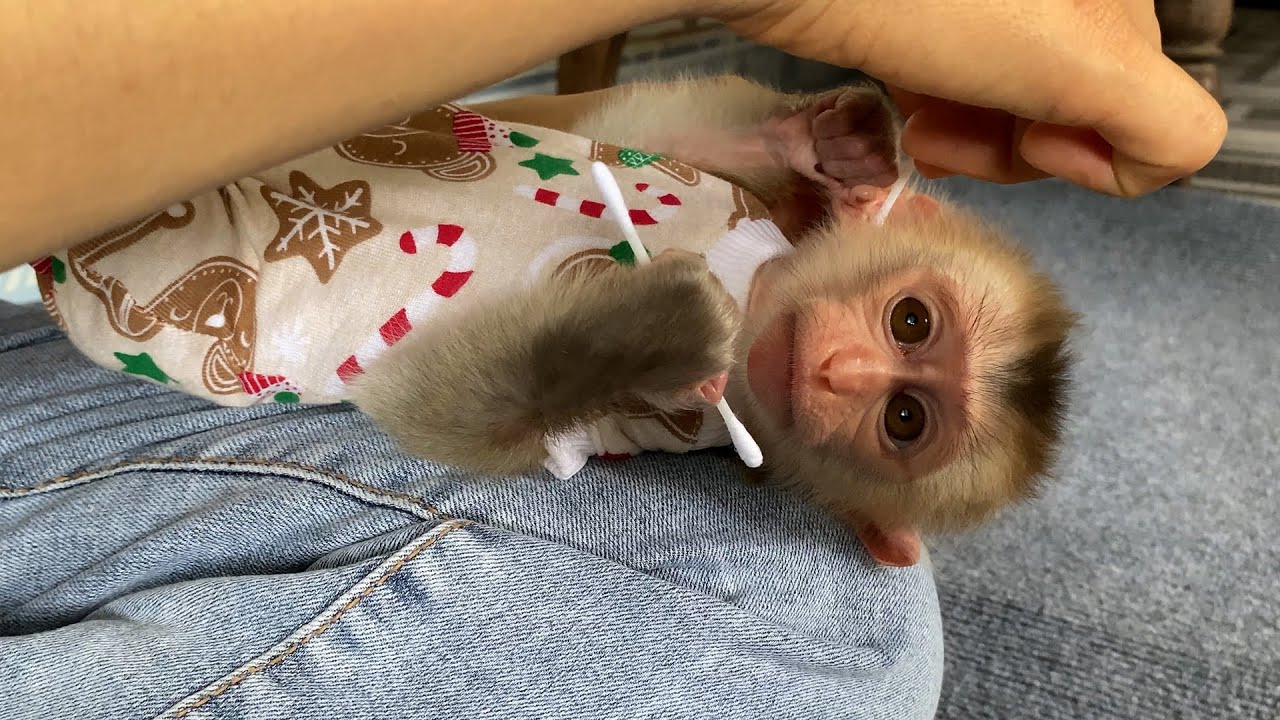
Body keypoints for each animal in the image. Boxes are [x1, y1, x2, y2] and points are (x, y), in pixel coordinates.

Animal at [346, 75, 1079, 568]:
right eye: (910, 320)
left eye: (904, 418)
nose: (839, 371)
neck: (746, 292)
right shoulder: (694, 178)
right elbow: (635, 132)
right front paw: (829, 149)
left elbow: (413, 398)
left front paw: (660, 333)